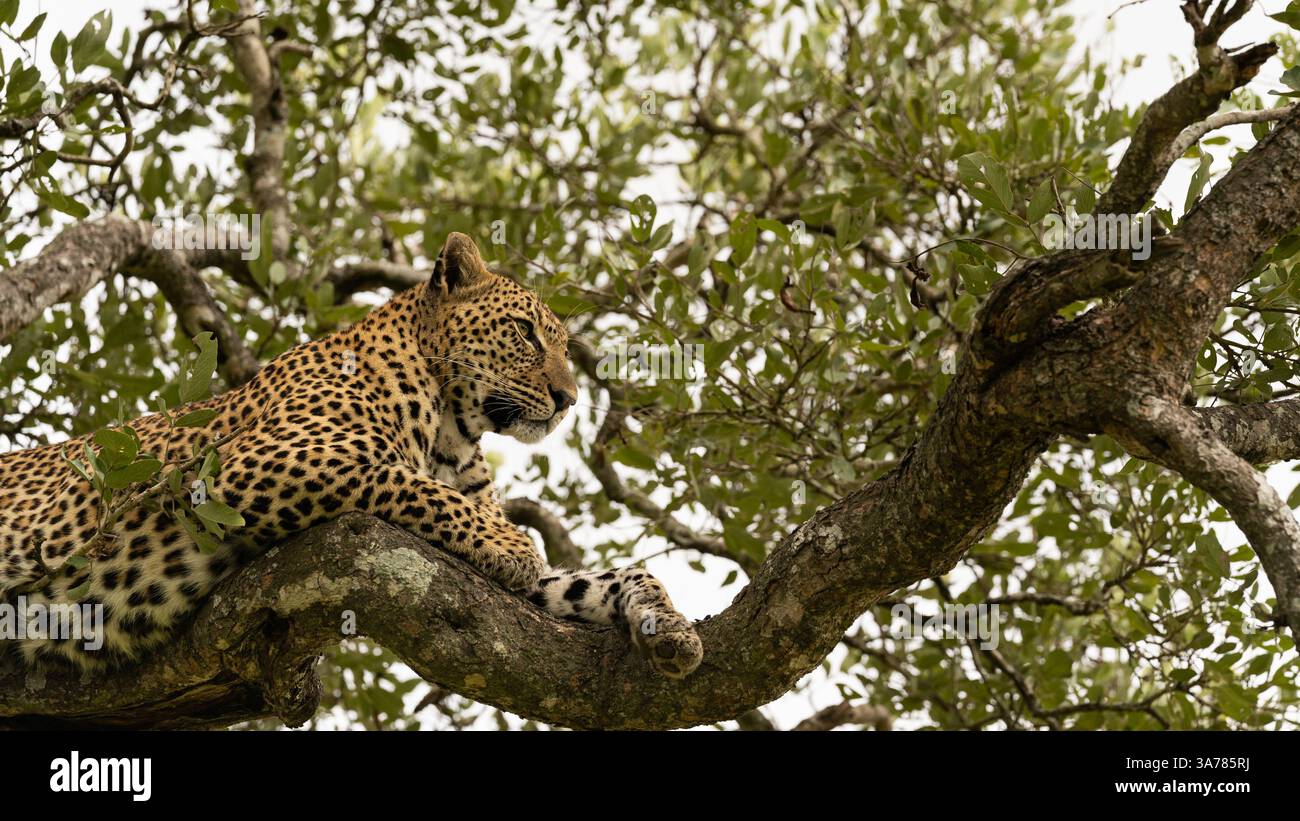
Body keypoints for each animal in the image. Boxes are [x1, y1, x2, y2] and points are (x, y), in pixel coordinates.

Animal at [0, 232, 703, 679]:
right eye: (526, 333)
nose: (568, 398)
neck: (455, 430)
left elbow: (602, 579)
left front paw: (670, 628)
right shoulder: (246, 467)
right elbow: (405, 482)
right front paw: (512, 545)